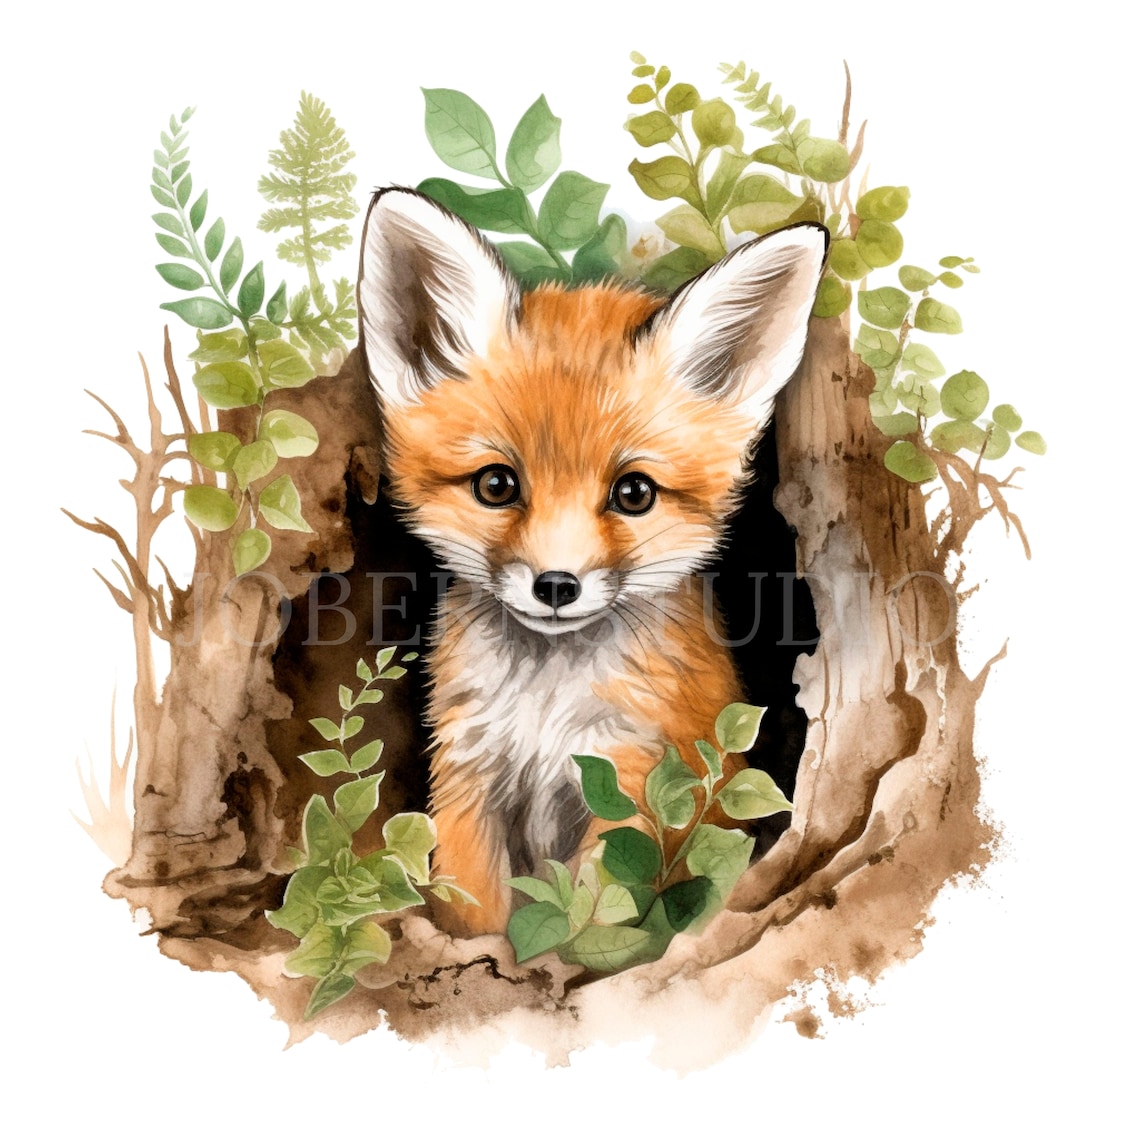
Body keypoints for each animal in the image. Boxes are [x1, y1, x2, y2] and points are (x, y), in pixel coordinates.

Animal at [357, 187, 826, 934]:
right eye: (497, 485)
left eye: (634, 493)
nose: (556, 585)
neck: (546, 709)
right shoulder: (468, 774)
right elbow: (476, 915)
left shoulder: (636, 779)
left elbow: (594, 919)